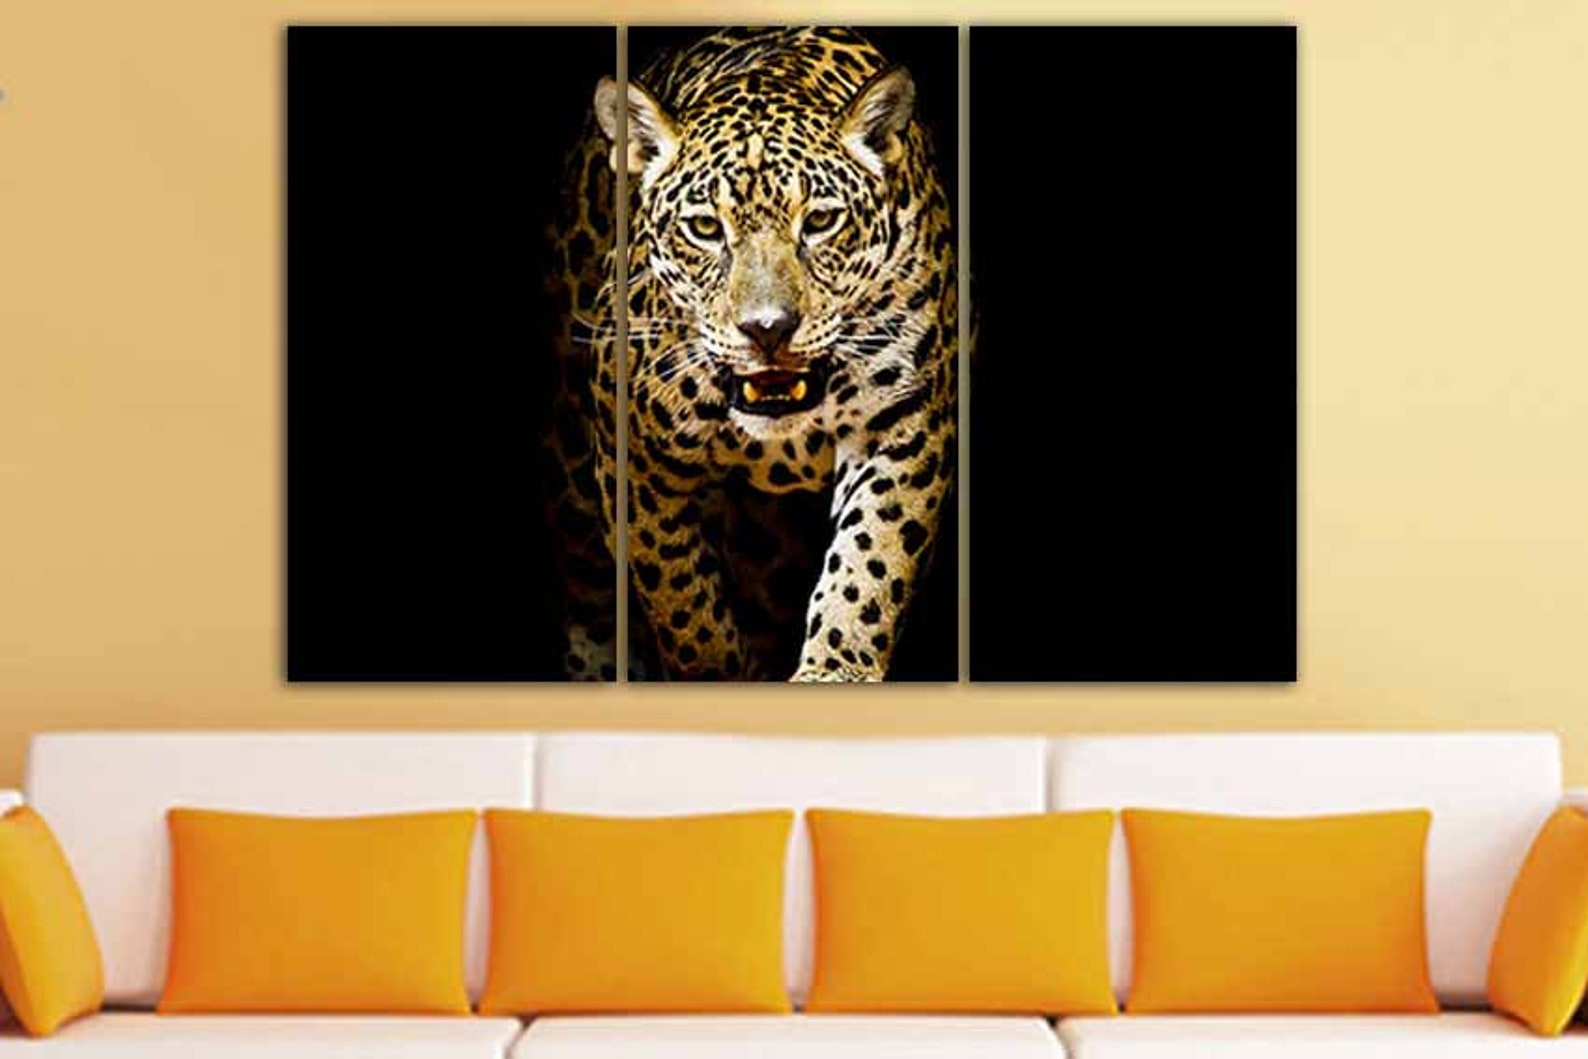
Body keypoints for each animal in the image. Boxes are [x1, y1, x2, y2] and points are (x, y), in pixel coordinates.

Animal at [546, 26, 956, 682]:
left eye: (820, 221)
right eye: (706, 229)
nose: (768, 329)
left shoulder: (902, 426)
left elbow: (870, 560)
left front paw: (833, 669)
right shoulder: (632, 456)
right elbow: (679, 596)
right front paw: (717, 674)